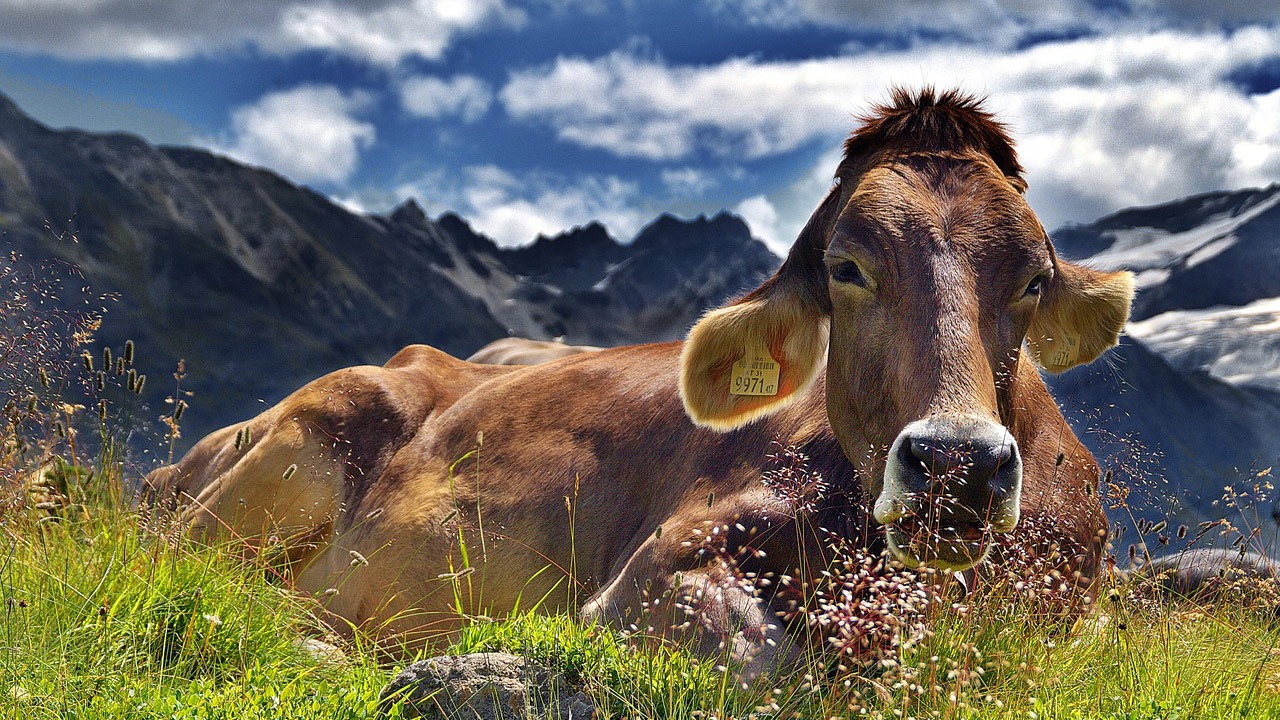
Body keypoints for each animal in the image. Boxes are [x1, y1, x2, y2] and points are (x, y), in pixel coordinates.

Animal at [148, 88, 1133, 672]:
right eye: (847, 267)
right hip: (298, 444)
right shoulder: (651, 574)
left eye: (1033, 278)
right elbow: (766, 662)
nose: (957, 465)